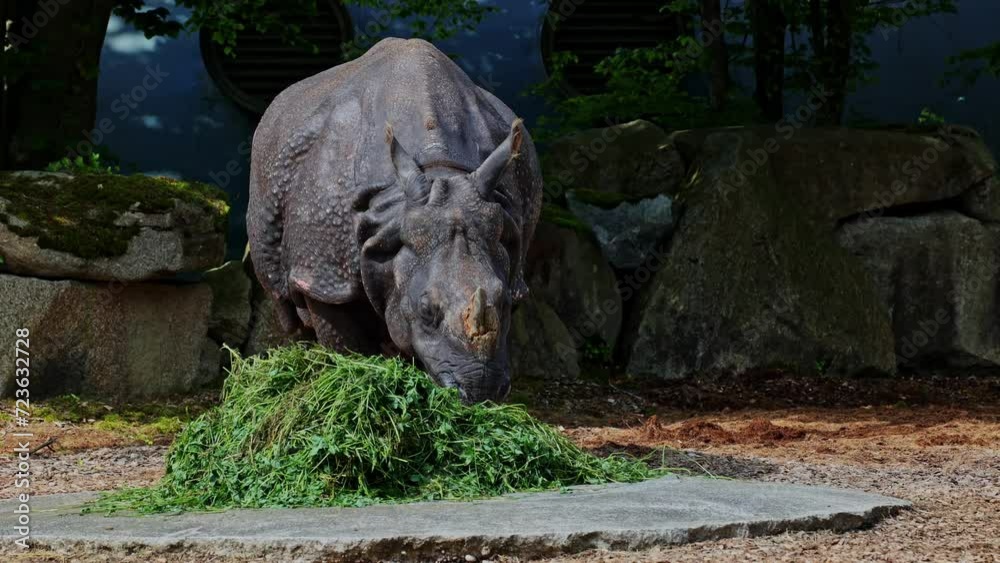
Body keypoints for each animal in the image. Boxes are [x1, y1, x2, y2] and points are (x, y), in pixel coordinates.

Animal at [247, 38, 542, 403]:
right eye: (426, 309)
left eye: (502, 301)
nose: (480, 390)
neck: (438, 170)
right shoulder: (324, 275)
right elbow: (343, 340)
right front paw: (350, 378)